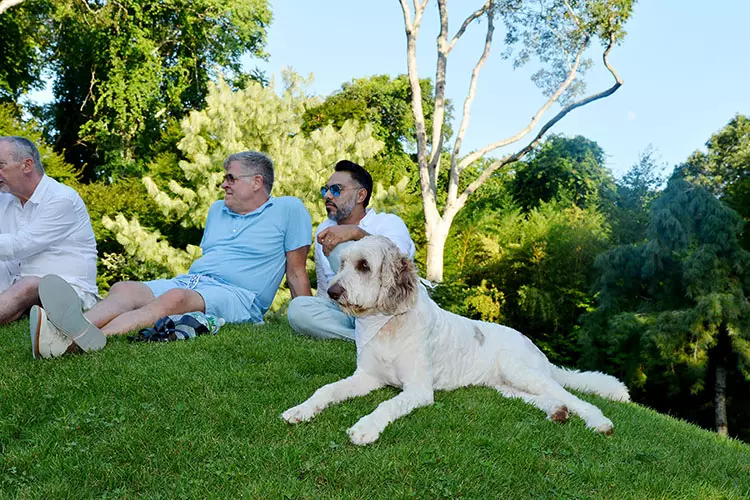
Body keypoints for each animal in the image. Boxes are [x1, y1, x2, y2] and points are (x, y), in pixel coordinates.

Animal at [282, 236, 628, 448]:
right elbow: (326, 390)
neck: (388, 323)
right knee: (545, 398)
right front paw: (301, 409)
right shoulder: (366, 377)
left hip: (522, 372)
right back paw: (556, 412)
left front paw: (366, 428)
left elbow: (387, 404)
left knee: (574, 397)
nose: (332, 292)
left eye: (364, 265)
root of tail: (533, 345)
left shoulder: (418, 390)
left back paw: (598, 421)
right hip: (505, 386)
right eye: (341, 264)